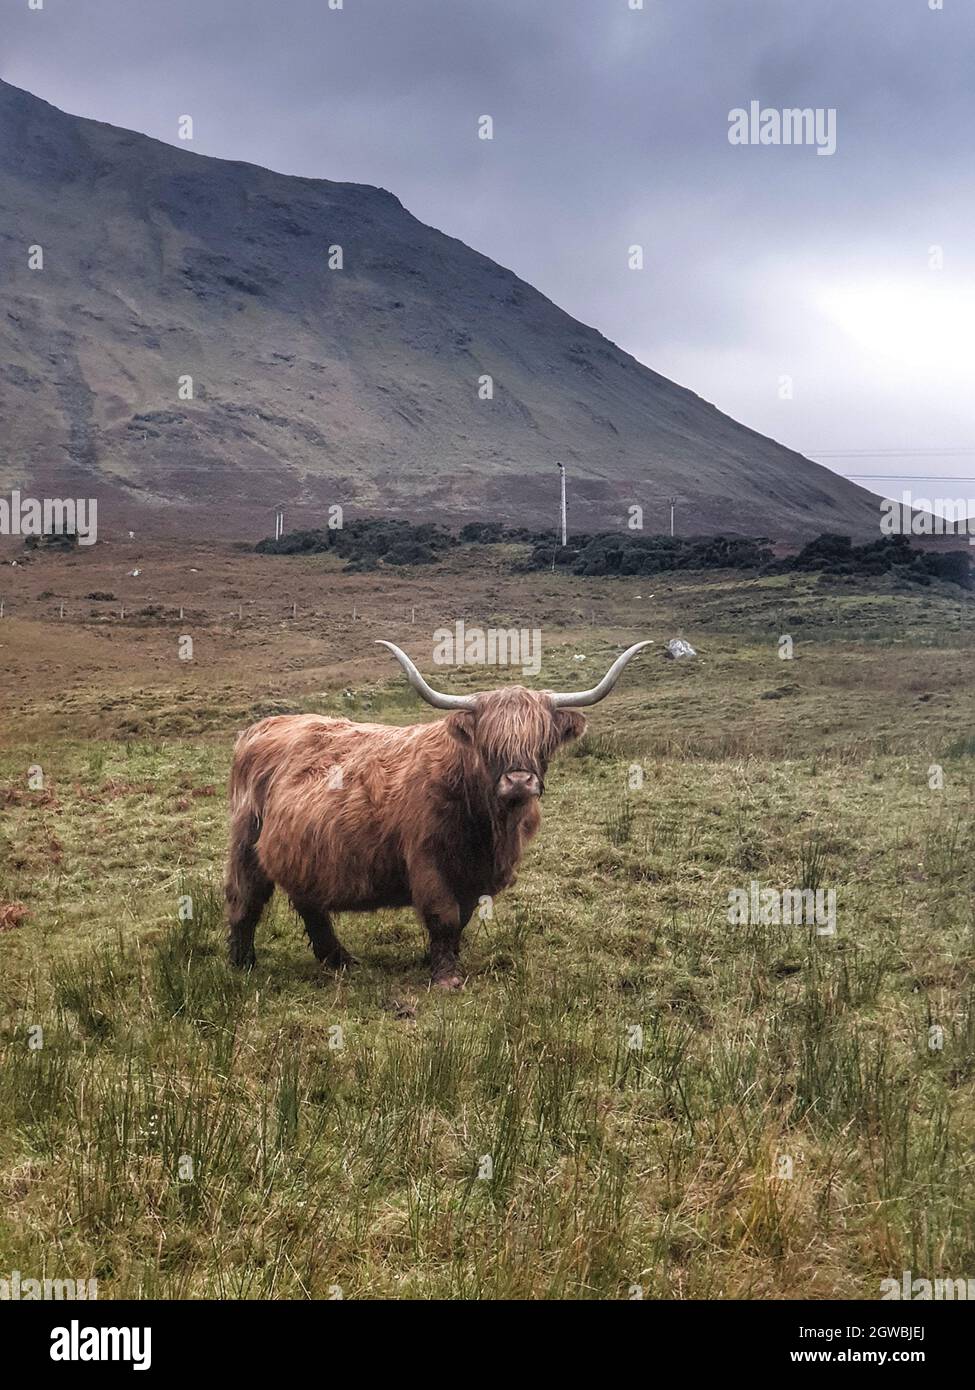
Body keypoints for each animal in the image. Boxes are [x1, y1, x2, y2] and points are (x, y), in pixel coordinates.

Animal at [225, 639, 650, 988]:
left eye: (541, 741)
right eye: (489, 743)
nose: (519, 780)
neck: (488, 825)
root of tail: (263, 726)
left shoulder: (476, 877)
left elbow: (461, 920)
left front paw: (443, 960)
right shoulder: (428, 861)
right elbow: (443, 916)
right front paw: (446, 978)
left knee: (309, 903)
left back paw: (340, 960)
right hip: (246, 841)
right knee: (244, 898)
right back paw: (242, 965)